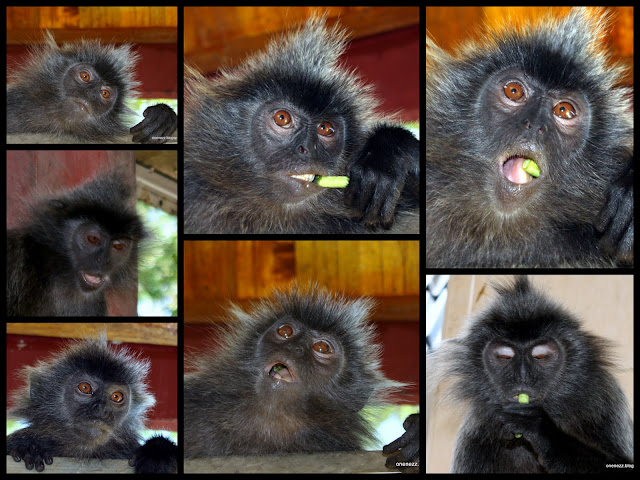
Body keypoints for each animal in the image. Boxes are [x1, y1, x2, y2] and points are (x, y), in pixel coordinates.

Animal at [427, 276, 633, 473]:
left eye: (541, 356)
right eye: (504, 356)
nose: (522, 375)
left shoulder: (607, 405)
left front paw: (542, 430)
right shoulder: (474, 436)